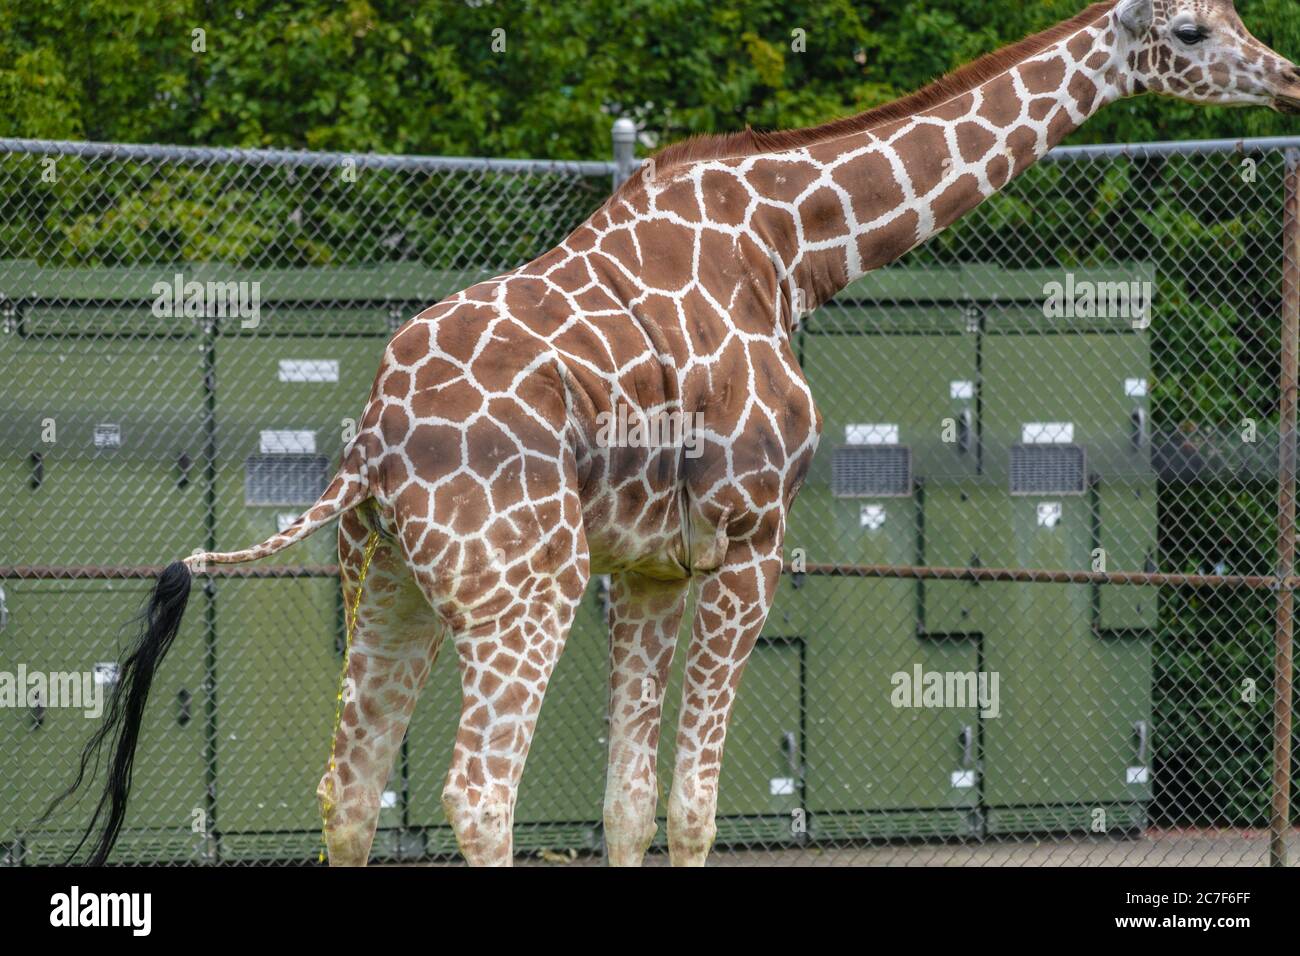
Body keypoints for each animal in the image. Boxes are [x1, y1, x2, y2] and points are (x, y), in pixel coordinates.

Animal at [55, 0, 1298, 867]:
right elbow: (694, 808)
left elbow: (624, 805)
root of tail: (373, 436)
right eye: (1190, 27)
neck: (792, 248)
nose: (1285, 72)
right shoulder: (748, 540)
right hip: (521, 582)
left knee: (350, 791)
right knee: (476, 792)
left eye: (1235, 12)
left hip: (390, 577)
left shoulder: (648, 563)